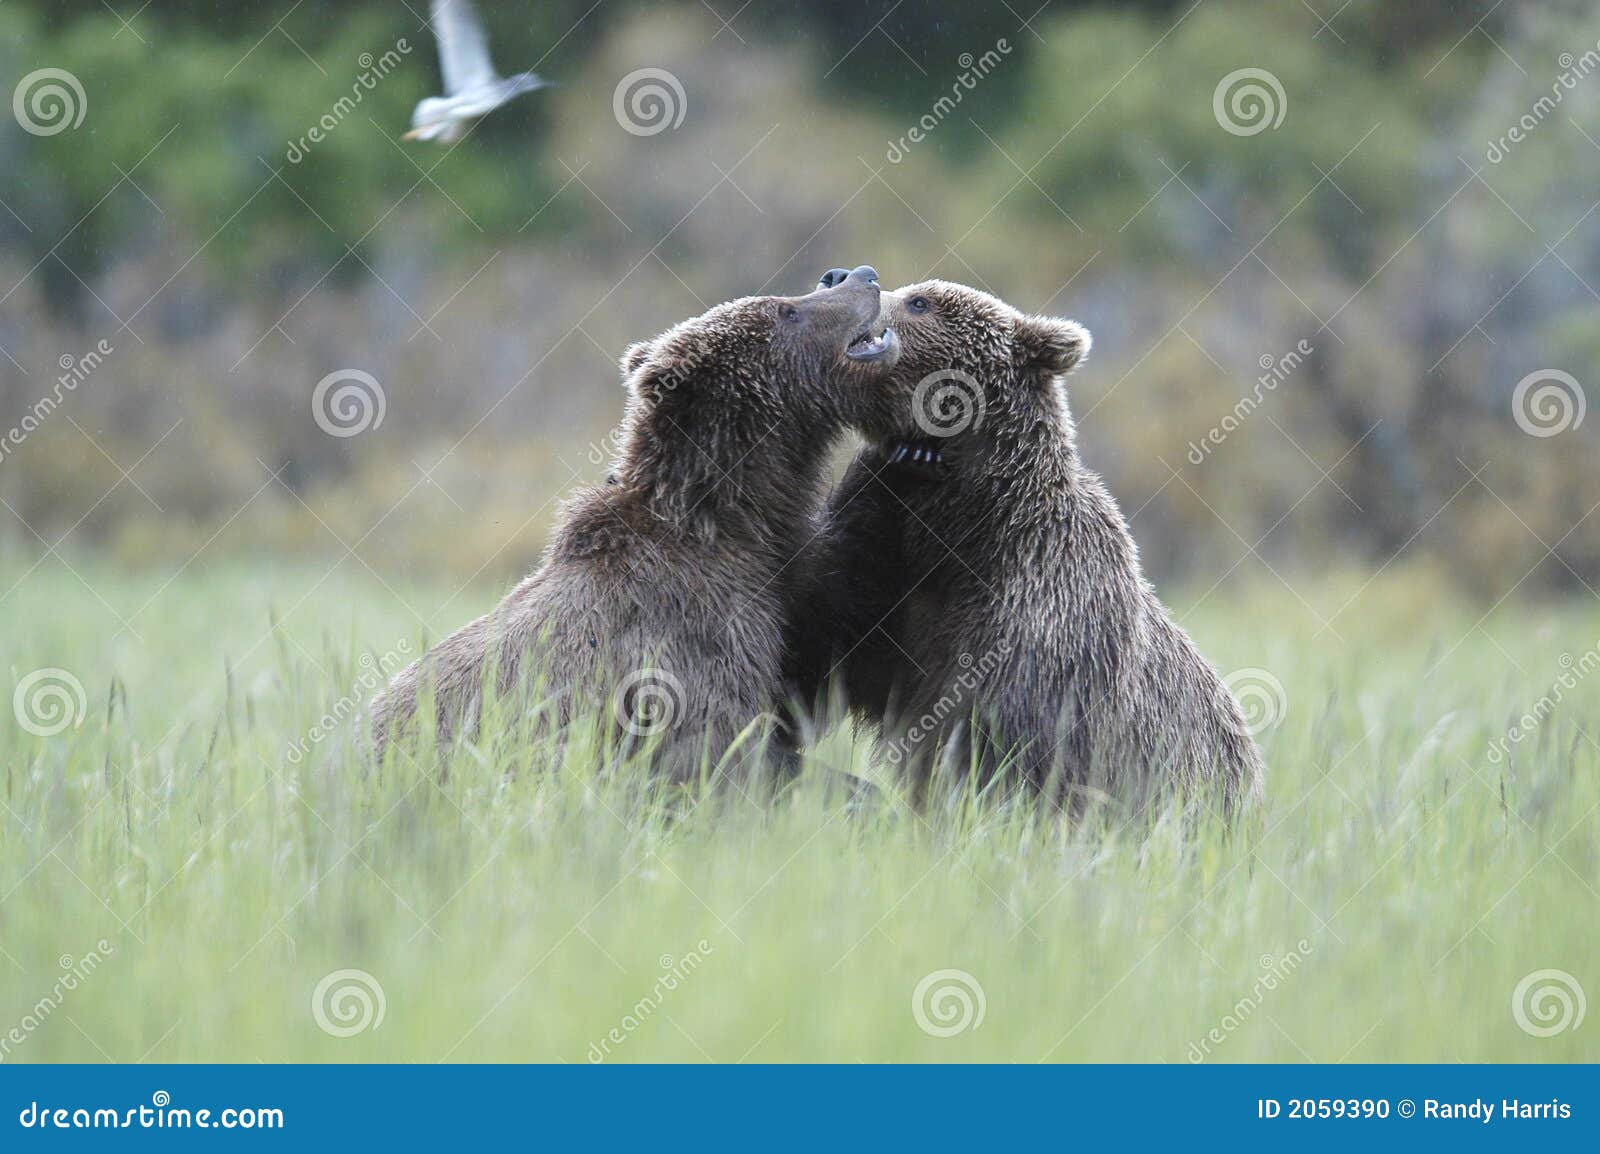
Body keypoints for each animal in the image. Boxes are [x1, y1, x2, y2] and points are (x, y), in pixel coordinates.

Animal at [788, 276, 1266, 815]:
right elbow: (823, 635)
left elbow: (1012, 748)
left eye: (919, 301)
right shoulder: (895, 576)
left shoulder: (1040, 614)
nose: (843, 276)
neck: (968, 524)